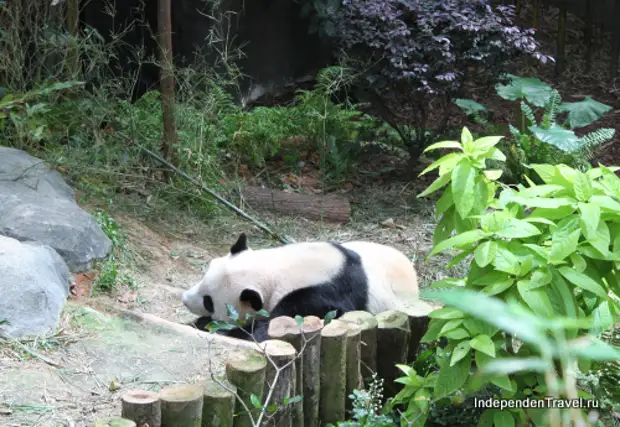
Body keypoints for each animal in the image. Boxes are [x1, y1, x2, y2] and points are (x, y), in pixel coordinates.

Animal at [182, 232, 418, 342]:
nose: (184, 299)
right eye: (203, 275)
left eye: (209, 301)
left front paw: (217, 327)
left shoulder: (323, 293)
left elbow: (281, 324)